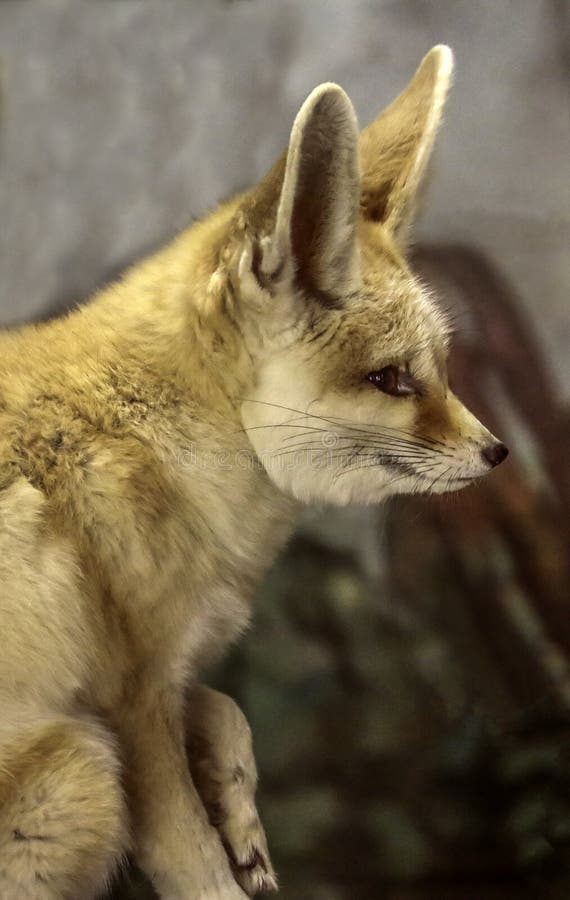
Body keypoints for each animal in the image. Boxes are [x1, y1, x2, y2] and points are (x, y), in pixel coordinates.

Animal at [0, 44, 508, 900]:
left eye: (438, 370)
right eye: (391, 379)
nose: (496, 452)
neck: (142, 434)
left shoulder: (159, 682)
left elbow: (228, 710)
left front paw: (242, 818)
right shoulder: (129, 707)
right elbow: (197, 868)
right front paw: (228, 845)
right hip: (80, 780)